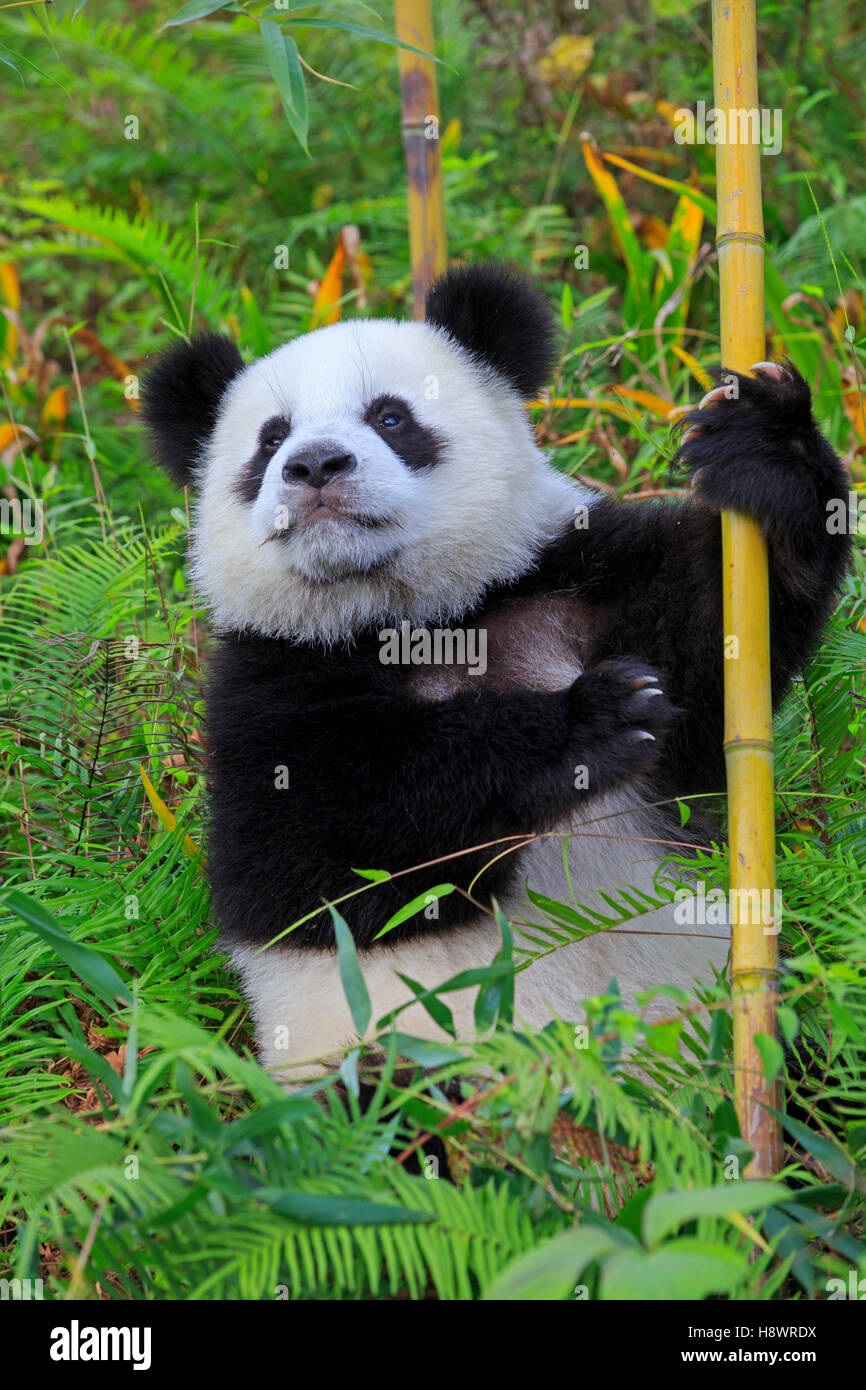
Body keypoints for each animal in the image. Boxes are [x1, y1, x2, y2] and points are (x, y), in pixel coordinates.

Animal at [143, 262, 850, 1076]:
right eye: (270, 439)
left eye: (391, 418)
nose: (315, 464)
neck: (418, 618)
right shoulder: (265, 683)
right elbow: (318, 857)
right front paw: (587, 726)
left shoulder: (574, 578)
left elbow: (711, 657)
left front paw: (763, 446)